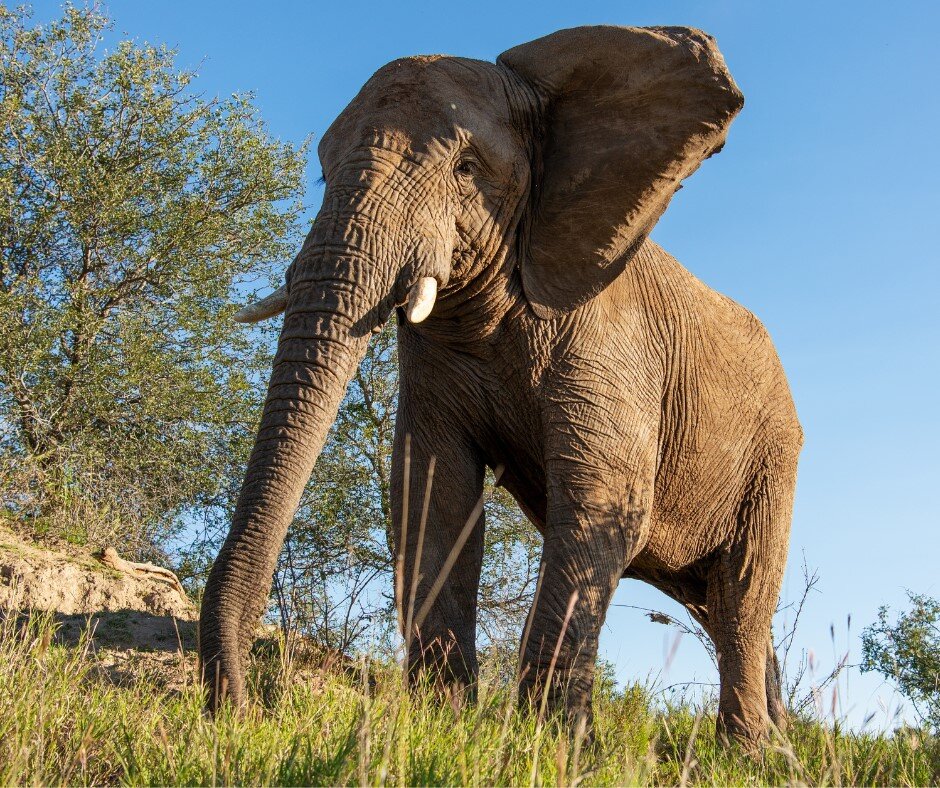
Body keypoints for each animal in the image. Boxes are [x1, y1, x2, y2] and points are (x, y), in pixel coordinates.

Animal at [198, 24, 802, 746]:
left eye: (466, 169)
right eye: (322, 171)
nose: (237, 710)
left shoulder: (608, 341)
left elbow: (603, 501)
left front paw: (557, 747)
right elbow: (432, 492)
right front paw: (443, 725)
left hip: (774, 457)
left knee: (740, 595)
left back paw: (751, 755)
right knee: (719, 604)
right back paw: (781, 747)